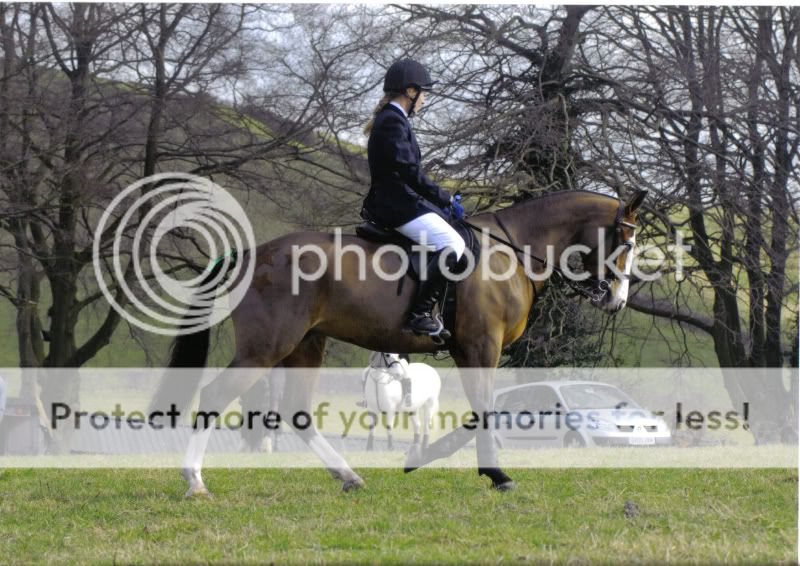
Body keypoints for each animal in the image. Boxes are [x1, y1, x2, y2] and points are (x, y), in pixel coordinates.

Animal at [151, 189, 646, 496]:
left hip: (306, 344)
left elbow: (481, 410)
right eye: (625, 242)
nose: (617, 300)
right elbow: (485, 409)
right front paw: (491, 473)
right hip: (266, 348)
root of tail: (253, 254)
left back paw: (348, 476)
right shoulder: (481, 346)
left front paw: (425, 457)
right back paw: (195, 482)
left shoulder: (471, 351)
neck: (512, 251)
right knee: (215, 396)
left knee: (296, 411)